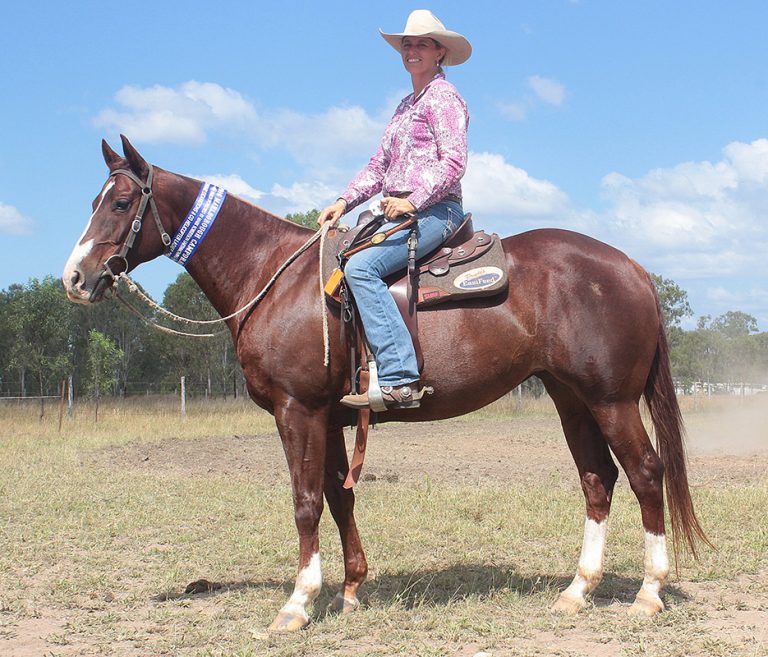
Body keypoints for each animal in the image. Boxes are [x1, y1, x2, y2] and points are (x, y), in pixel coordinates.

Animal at [63, 135, 708, 632]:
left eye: (121, 201)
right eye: (93, 199)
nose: (75, 277)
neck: (274, 279)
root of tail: (634, 269)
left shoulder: (297, 412)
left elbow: (305, 502)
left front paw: (298, 603)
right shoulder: (328, 416)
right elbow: (338, 496)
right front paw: (350, 590)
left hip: (611, 399)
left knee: (646, 473)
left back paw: (648, 593)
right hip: (570, 397)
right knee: (598, 479)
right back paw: (577, 590)